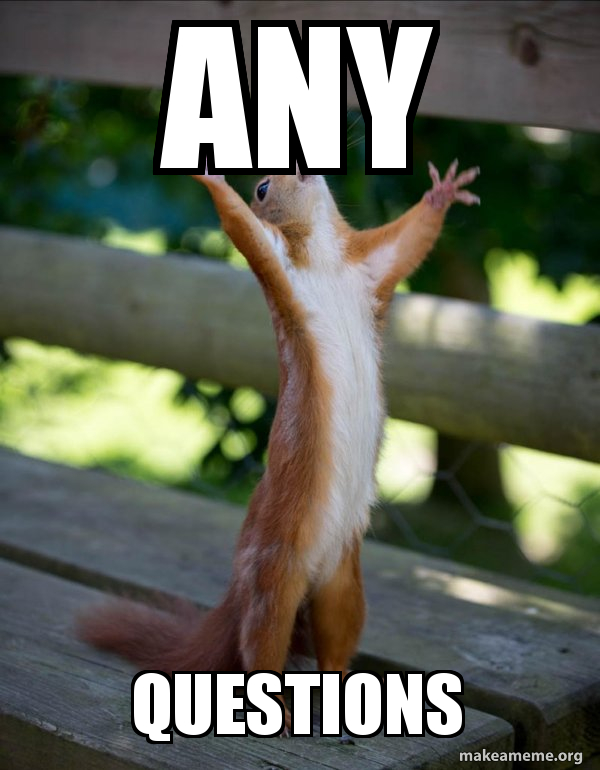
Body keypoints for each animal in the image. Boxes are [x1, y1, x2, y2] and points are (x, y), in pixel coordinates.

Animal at [78, 162, 479, 732]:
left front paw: (443, 193)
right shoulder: (277, 264)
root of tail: (239, 590)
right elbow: (241, 226)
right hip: (273, 579)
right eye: (263, 185)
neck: (326, 259)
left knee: (336, 640)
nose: (303, 168)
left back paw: (342, 691)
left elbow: (409, 241)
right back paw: (280, 705)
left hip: (344, 584)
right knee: (260, 648)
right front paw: (211, 178)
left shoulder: (371, 268)